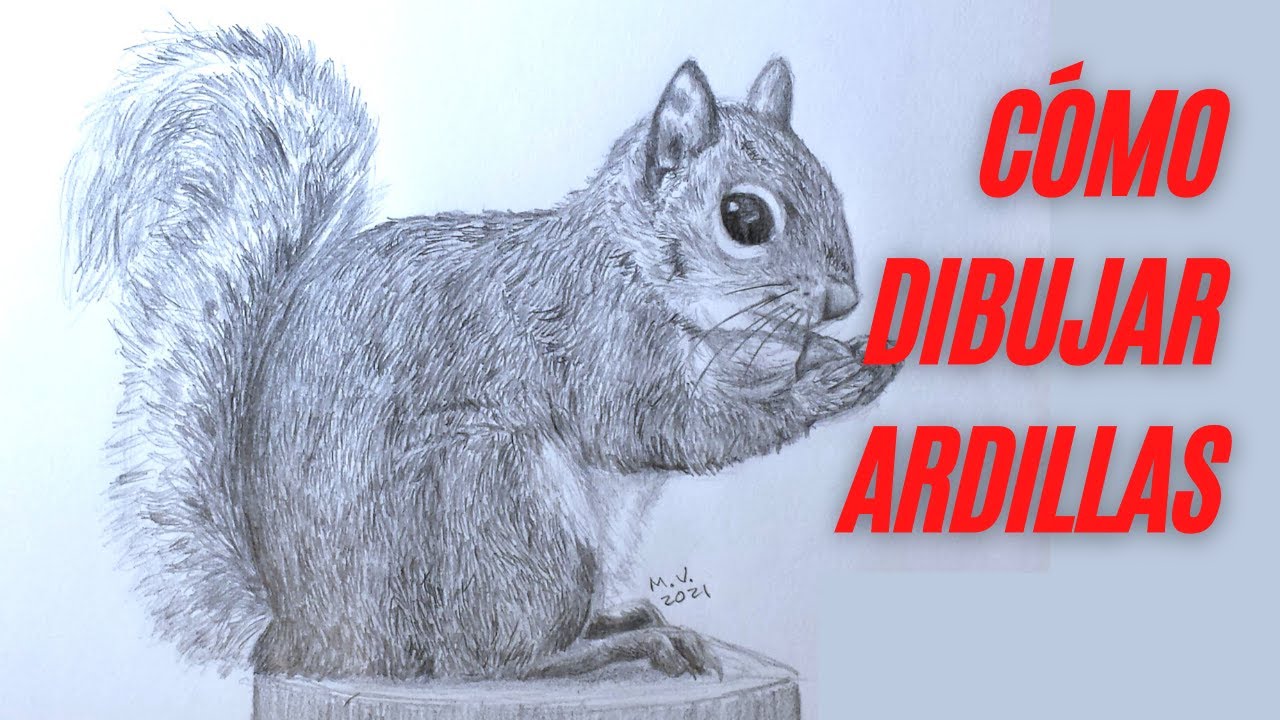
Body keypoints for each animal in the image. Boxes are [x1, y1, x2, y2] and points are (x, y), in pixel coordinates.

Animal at [63, 25, 898, 681]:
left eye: (832, 188)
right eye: (744, 218)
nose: (843, 300)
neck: (636, 263)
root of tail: (310, 637)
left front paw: (822, 356)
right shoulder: (595, 339)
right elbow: (665, 428)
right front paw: (824, 388)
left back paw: (621, 620)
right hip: (495, 502)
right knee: (487, 660)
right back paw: (616, 650)